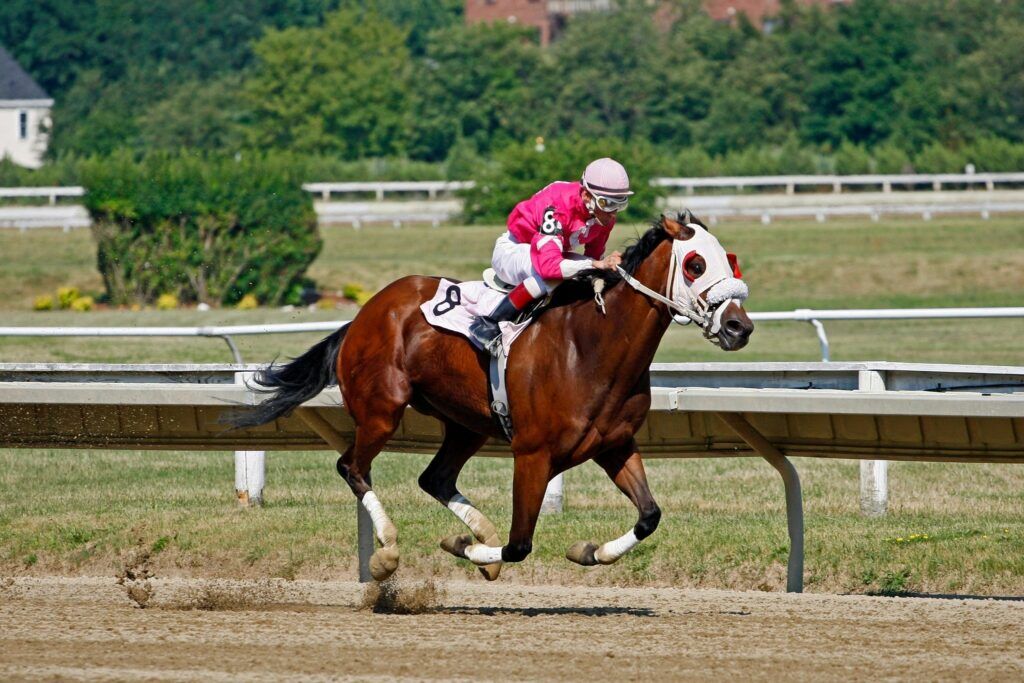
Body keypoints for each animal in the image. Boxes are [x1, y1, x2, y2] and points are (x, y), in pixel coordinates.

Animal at [229, 211, 753, 582]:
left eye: (731, 260)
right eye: (695, 264)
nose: (739, 327)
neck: (589, 347)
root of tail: (363, 313)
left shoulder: (615, 445)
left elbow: (649, 515)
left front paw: (587, 551)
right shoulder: (533, 454)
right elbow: (520, 543)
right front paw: (466, 548)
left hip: (466, 424)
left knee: (434, 478)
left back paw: (476, 531)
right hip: (381, 410)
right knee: (352, 467)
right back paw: (390, 552)